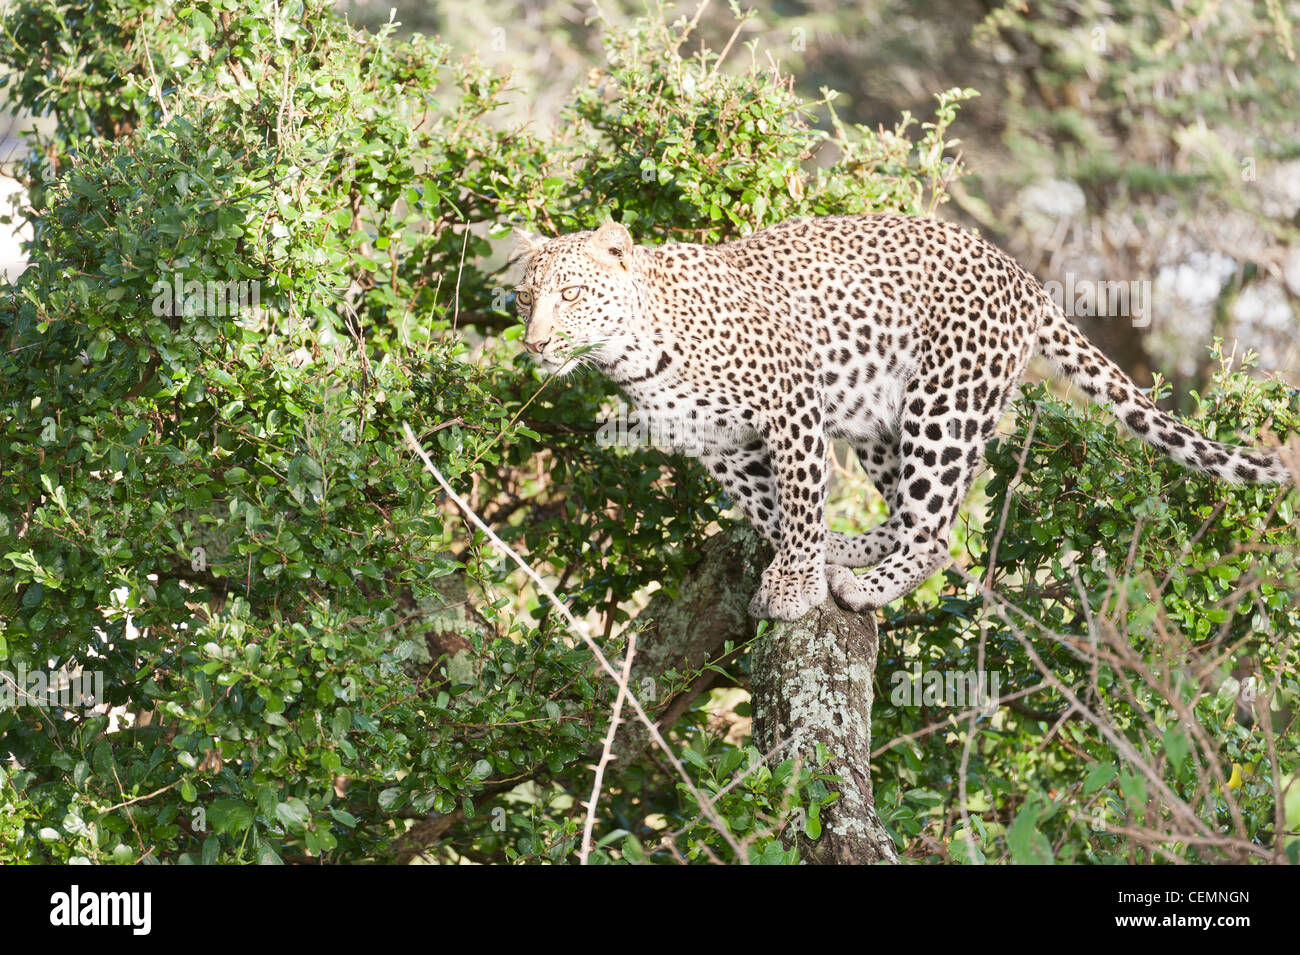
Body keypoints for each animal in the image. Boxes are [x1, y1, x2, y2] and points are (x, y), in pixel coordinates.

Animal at [511, 214, 1292, 622]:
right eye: (525, 298)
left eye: (571, 294)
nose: (536, 344)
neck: (632, 354)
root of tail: (1024, 275)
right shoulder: (721, 444)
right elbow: (769, 506)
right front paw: (804, 559)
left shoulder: (792, 405)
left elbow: (798, 502)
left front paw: (795, 585)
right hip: (877, 417)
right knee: (907, 511)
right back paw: (852, 551)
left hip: (943, 404)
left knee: (936, 530)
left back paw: (865, 582)